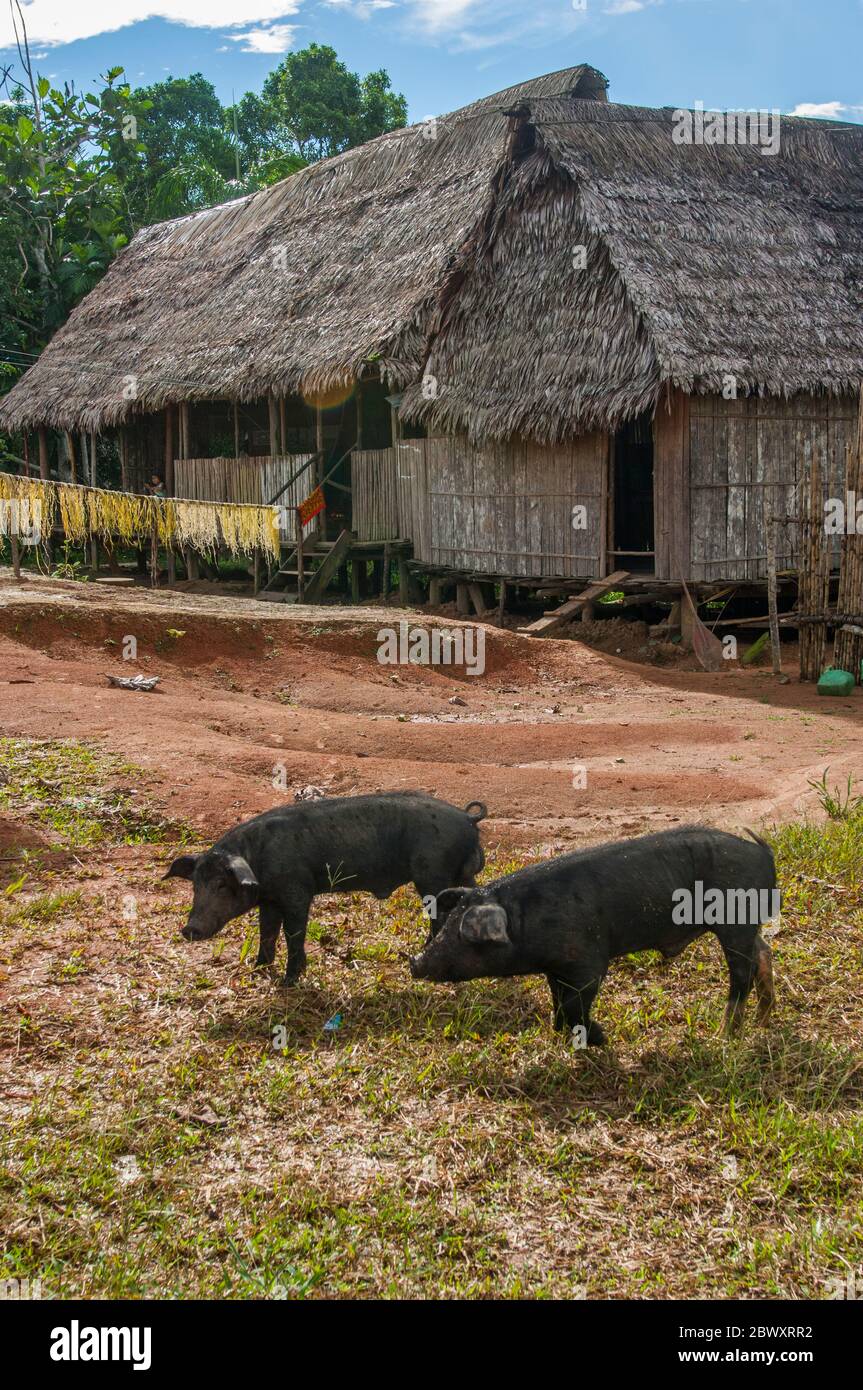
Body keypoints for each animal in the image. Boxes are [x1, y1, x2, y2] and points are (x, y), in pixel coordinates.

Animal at [165, 792, 487, 982]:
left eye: (221, 884)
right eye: (196, 885)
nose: (189, 929)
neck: (256, 860)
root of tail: (467, 817)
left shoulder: (296, 892)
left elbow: (293, 933)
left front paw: (290, 981)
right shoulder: (269, 900)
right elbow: (267, 932)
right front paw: (258, 971)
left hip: (432, 874)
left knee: (440, 915)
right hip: (462, 874)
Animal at [410, 826, 776, 1042]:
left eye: (465, 936)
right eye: (448, 924)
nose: (416, 961)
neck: (524, 921)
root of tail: (763, 852)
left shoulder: (587, 962)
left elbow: (575, 1001)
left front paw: (599, 1040)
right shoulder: (556, 968)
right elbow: (557, 998)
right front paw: (559, 1033)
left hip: (735, 921)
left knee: (742, 974)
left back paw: (724, 1037)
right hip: (747, 924)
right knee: (764, 952)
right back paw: (762, 1023)